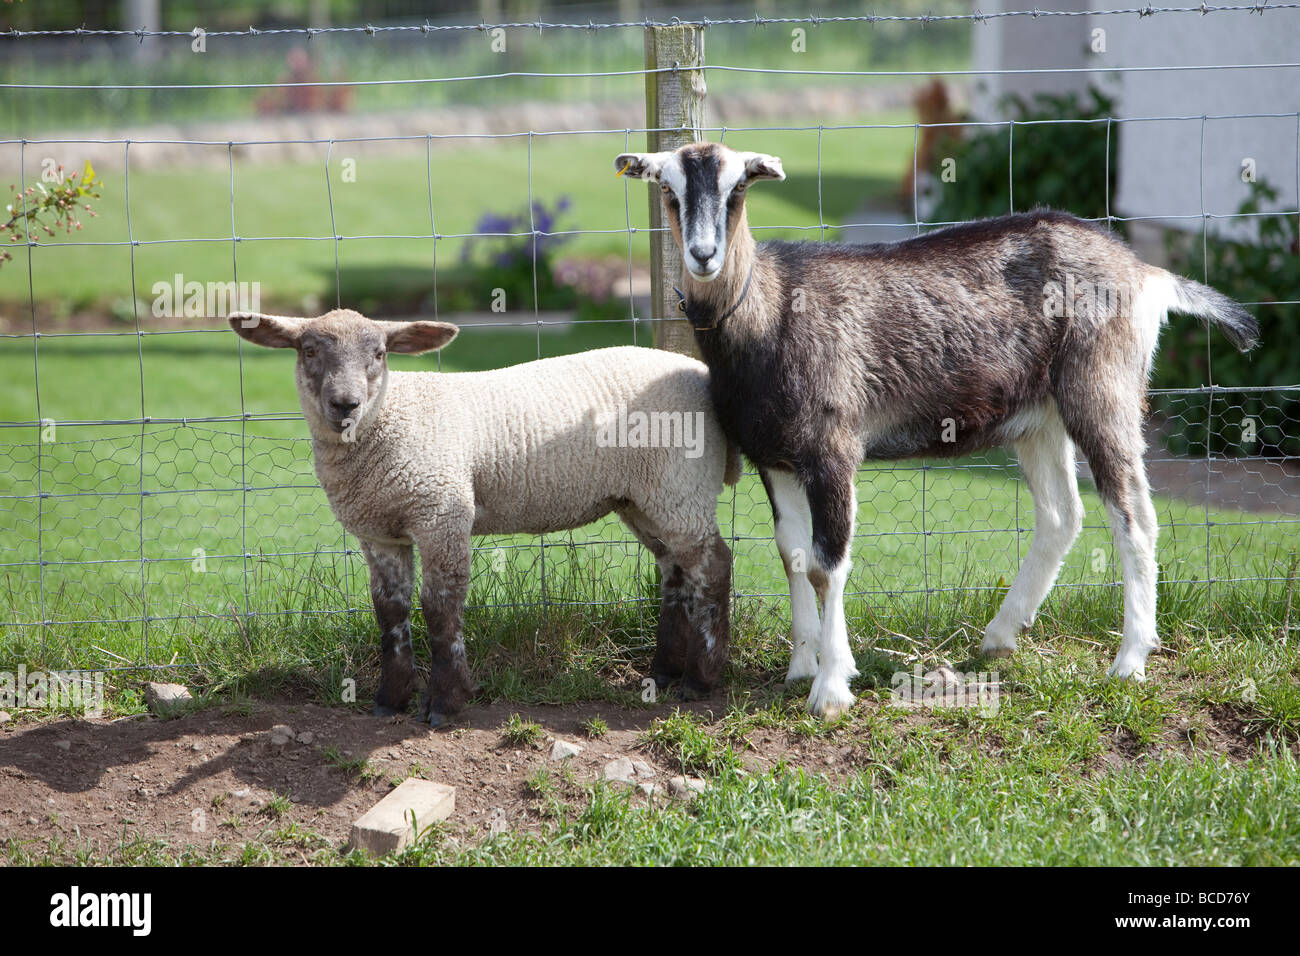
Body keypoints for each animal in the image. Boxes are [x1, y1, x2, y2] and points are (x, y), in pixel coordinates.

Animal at [615, 141, 1259, 718]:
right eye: (668, 191)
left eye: (738, 188)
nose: (703, 255)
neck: (768, 315)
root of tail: (1147, 274)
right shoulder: (774, 459)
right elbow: (793, 555)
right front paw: (801, 666)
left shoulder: (832, 450)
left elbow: (828, 564)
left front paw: (832, 687)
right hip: (1038, 419)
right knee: (1062, 515)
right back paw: (1000, 636)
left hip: (1103, 393)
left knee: (1133, 518)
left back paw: (1129, 661)